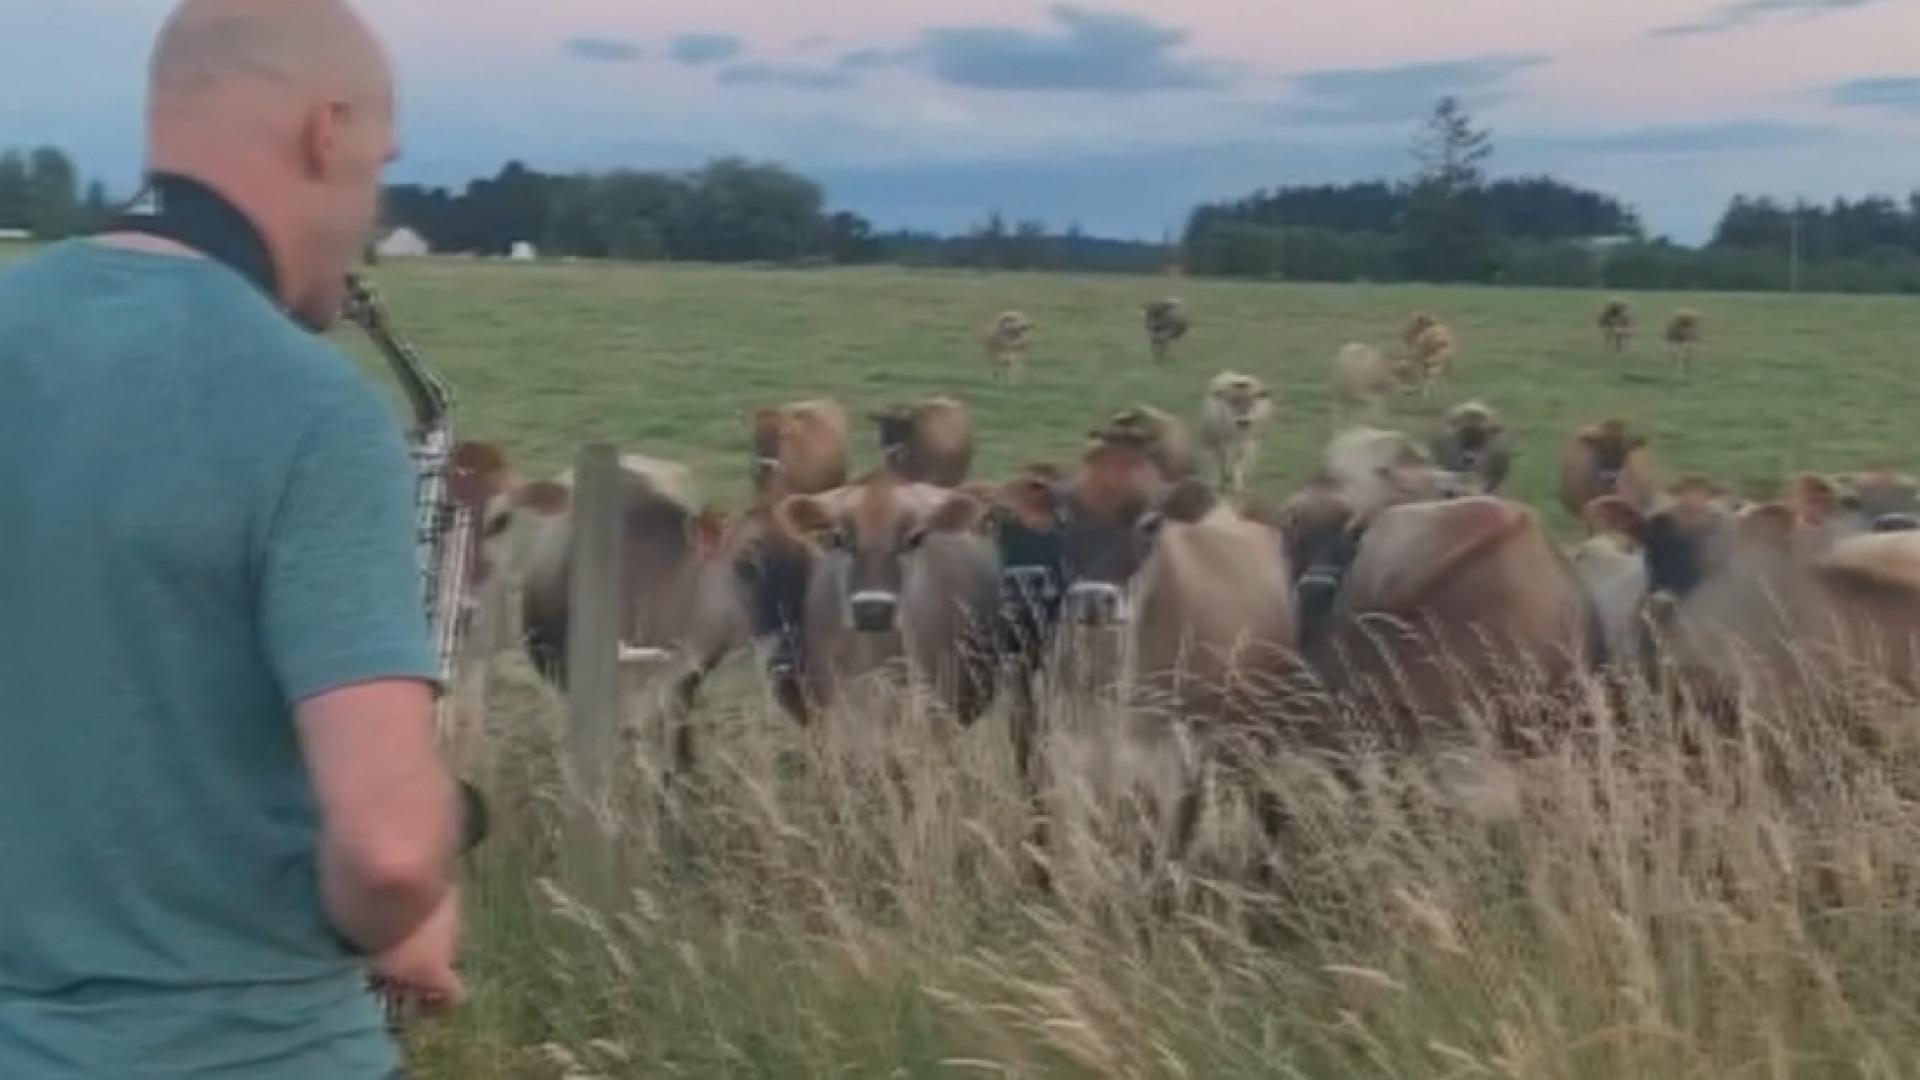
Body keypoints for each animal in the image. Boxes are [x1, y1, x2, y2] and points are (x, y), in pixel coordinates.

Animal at [1199, 370, 1274, 499]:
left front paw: (1240, 488)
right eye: (1233, 401)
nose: (1243, 420)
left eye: (1251, 400)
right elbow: (1227, 464)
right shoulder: (1225, 443)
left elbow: (1242, 464)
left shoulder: (1251, 443)